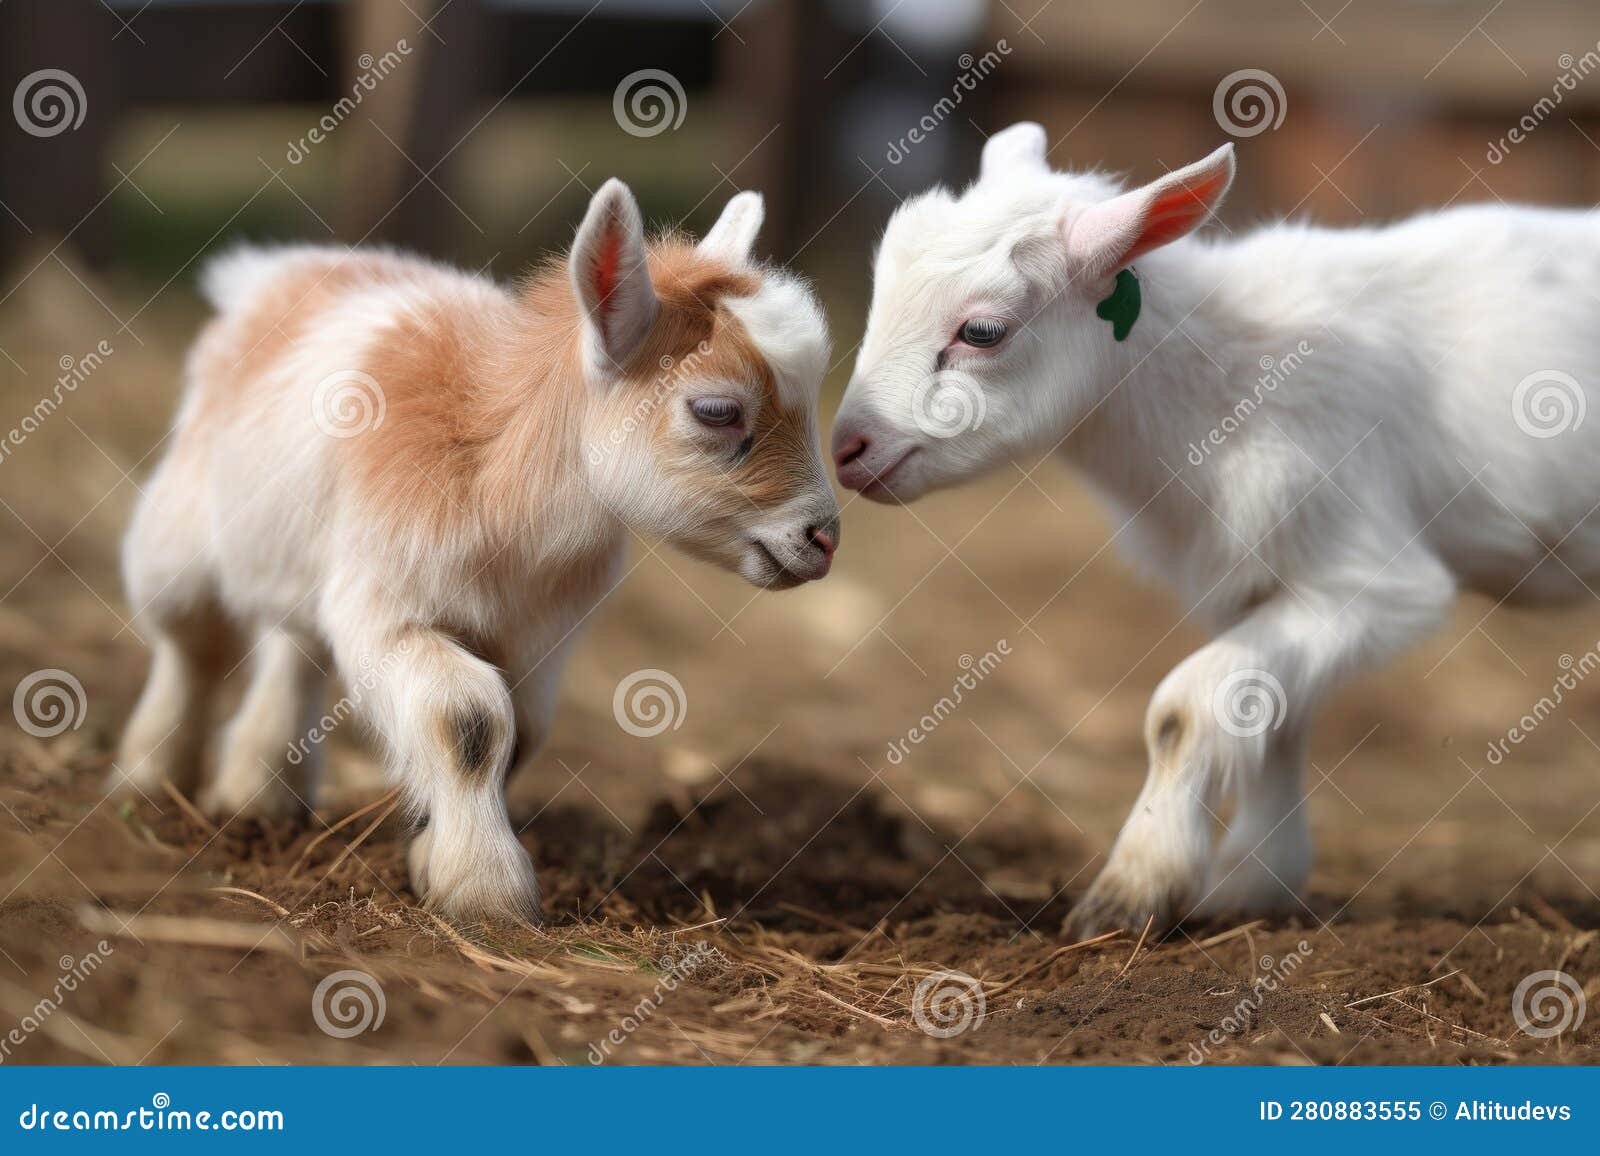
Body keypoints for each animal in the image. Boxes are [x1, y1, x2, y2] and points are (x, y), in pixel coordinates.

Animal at [113, 181, 839, 920]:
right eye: (716, 410)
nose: (822, 539)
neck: (496, 480)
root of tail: (278, 270)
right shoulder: (387, 609)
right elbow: (468, 718)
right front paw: (488, 891)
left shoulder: (539, 637)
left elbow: (521, 733)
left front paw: (434, 861)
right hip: (177, 532)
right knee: (192, 646)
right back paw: (150, 778)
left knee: (296, 646)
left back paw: (256, 796)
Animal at [834, 121, 1600, 936]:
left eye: (982, 330)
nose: (846, 448)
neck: (1226, 384)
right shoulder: (1259, 581)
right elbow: (1267, 713)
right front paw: (1256, 883)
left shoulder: (1372, 575)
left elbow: (1186, 708)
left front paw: (1130, 895)